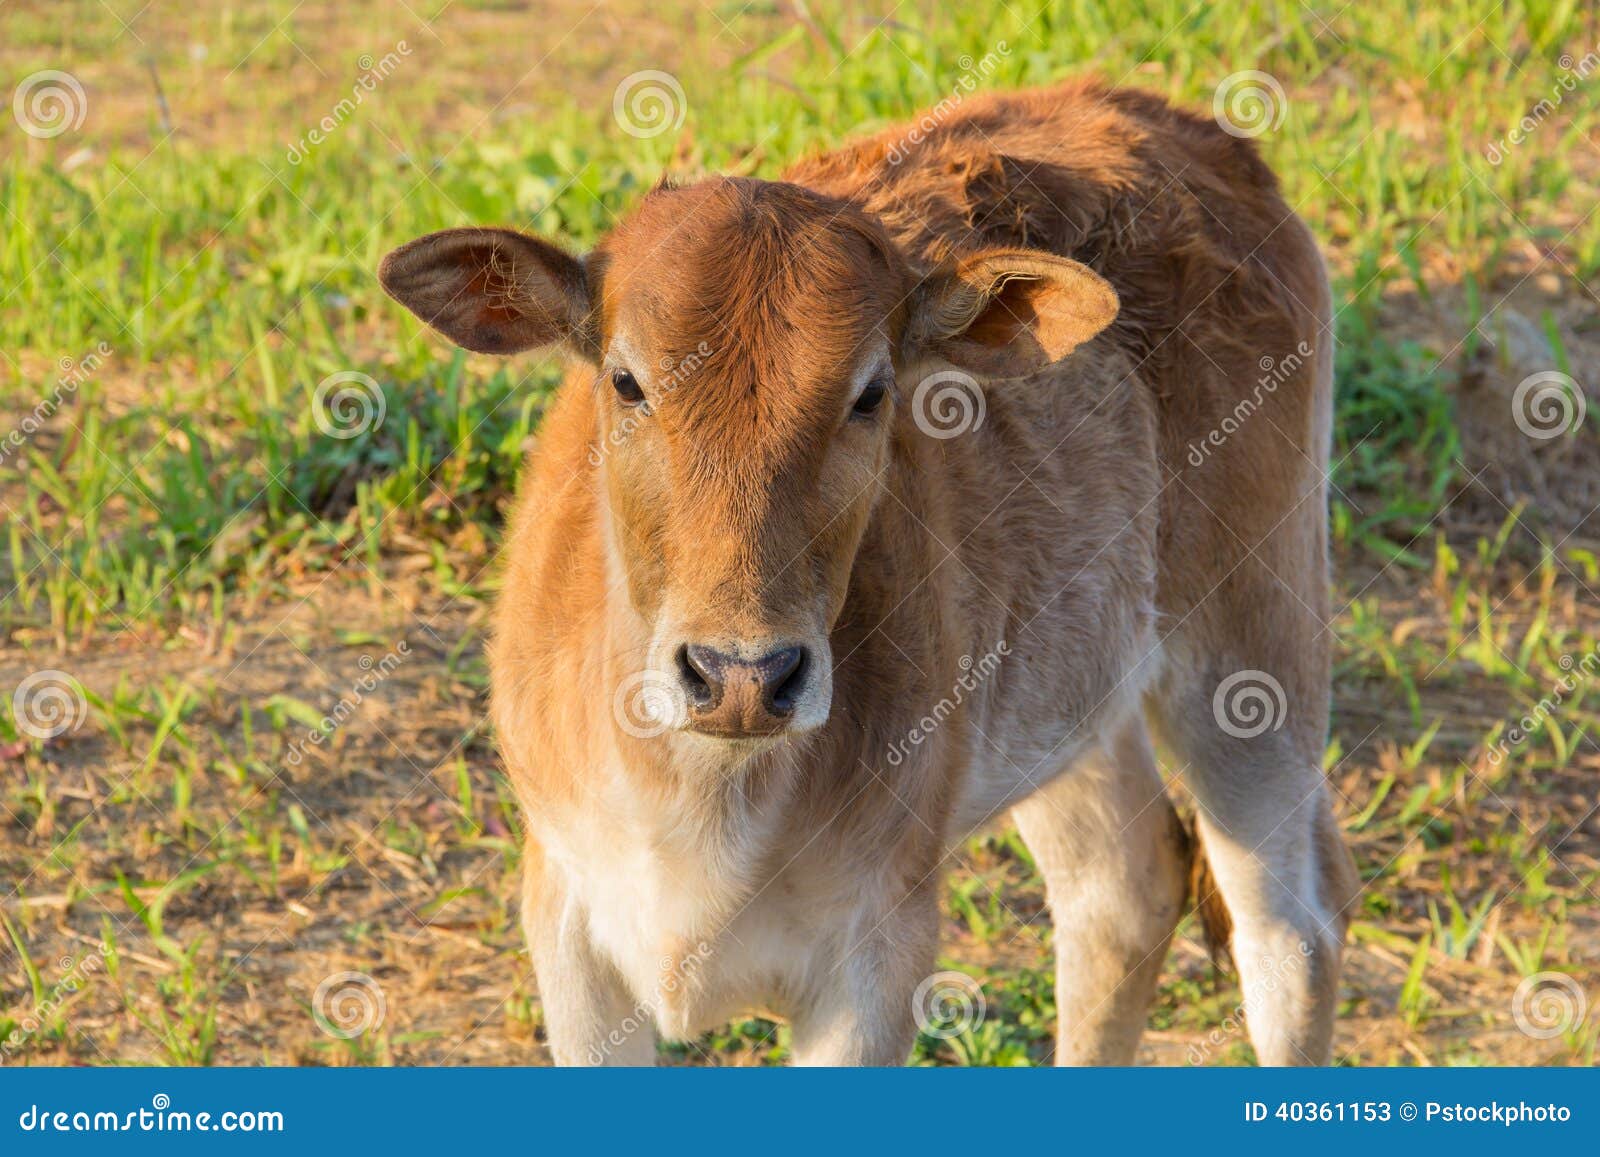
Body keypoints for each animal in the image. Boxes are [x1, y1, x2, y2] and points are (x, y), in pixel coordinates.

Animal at [378, 77, 1360, 1066]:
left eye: (871, 392)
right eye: (625, 381)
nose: (743, 675)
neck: (703, 801)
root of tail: (1158, 114)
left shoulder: (881, 950)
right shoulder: (567, 922)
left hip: (1252, 637)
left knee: (1291, 925)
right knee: (1123, 894)